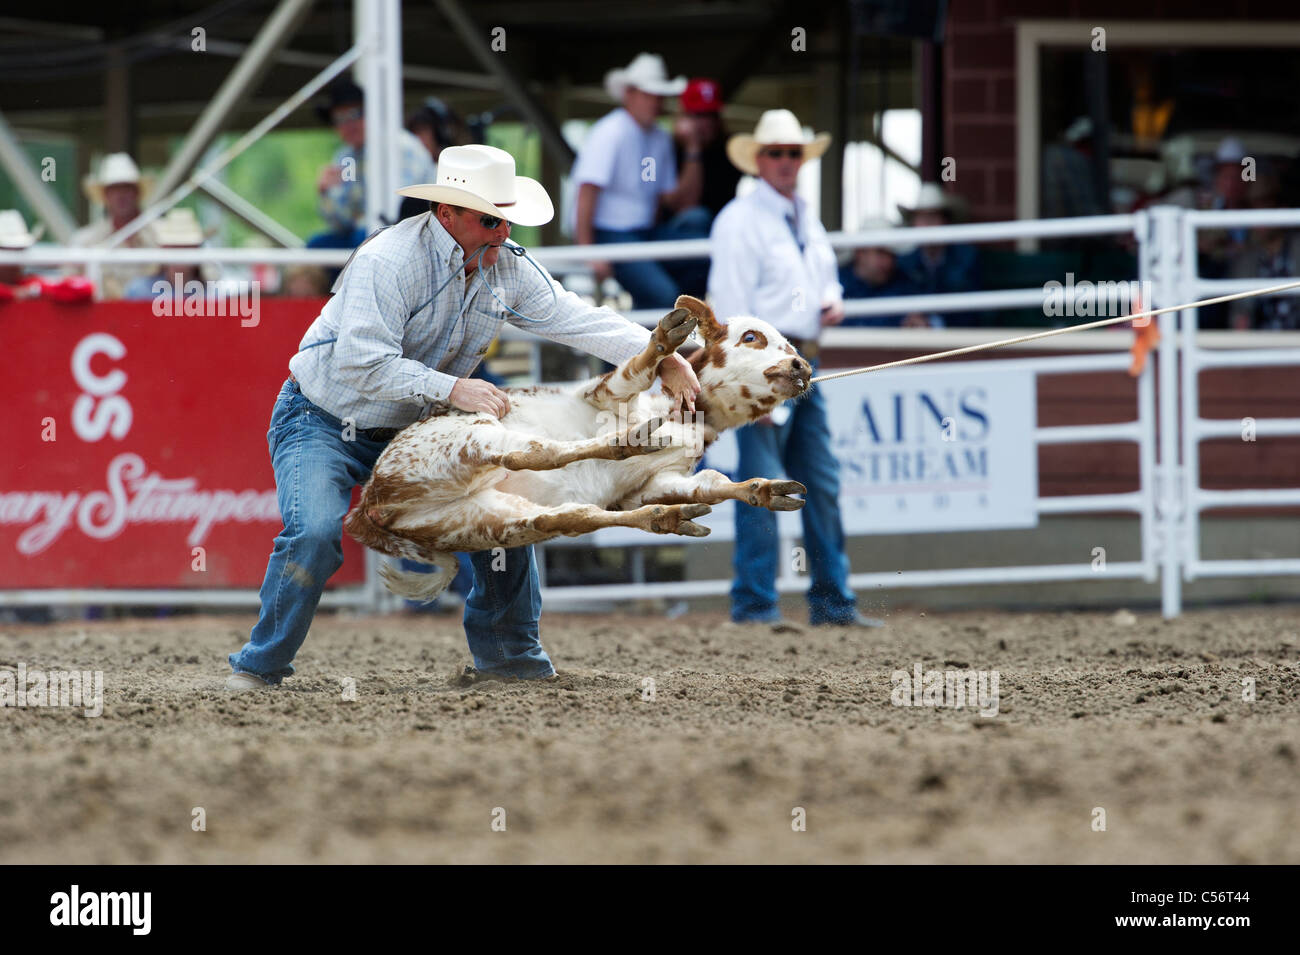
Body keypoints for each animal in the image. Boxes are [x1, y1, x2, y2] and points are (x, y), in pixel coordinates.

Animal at [344, 294, 813, 601]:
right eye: (751, 337)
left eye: (789, 346)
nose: (802, 366)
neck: (685, 417)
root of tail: (369, 503)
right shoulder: (603, 394)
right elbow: (636, 371)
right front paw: (664, 338)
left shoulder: (652, 486)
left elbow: (710, 484)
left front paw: (765, 490)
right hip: (473, 437)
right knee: (534, 453)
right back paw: (627, 442)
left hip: (482, 521)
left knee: (569, 518)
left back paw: (667, 517)